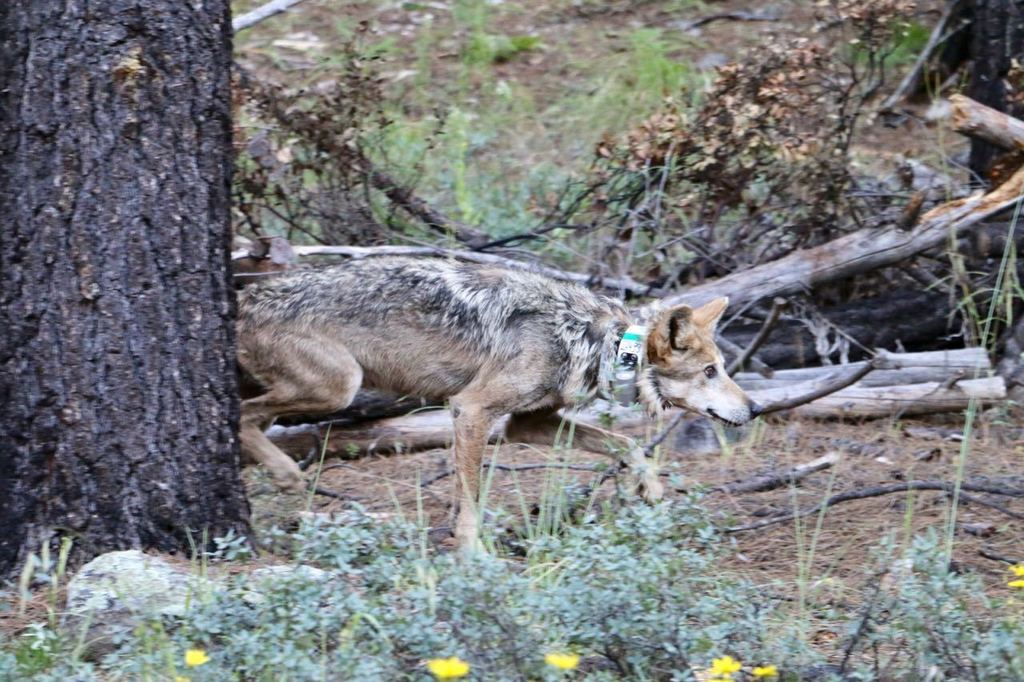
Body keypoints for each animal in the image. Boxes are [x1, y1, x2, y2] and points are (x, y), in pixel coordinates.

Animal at [236, 257, 761, 550]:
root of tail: (244, 296)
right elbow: (470, 498)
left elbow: (626, 446)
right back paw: (286, 473)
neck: (597, 341)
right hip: (340, 387)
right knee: (244, 418)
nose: (755, 409)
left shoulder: (525, 425)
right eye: (710, 372)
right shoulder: (470, 410)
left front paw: (650, 488)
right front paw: (472, 554)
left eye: (723, 368)